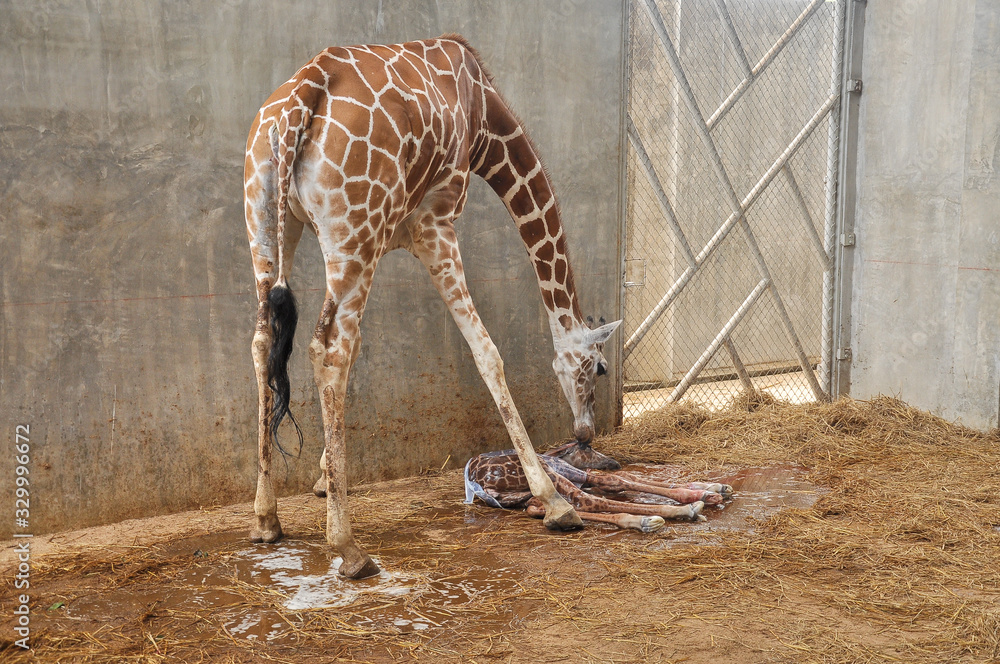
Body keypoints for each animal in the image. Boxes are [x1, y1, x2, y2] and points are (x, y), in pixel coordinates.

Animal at [243, 35, 622, 579]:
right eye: (598, 368)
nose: (586, 433)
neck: (486, 119)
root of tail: (299, 99)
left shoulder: (387, 240)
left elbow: (363, 353)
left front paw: (323, 476)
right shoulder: (434, 227)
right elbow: (487, 353)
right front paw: (555, 502)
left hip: (272, 223)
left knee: (265, 342)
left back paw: (265, 518)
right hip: (350, 234)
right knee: (327, 349)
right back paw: (348, 547)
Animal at [465, 449, 733, 533]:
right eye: (589, 449)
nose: (614, 461)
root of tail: (479, 480)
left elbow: (621, 480)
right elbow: (615, 483)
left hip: (542, 486)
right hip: (549, 477)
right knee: (589, 497)